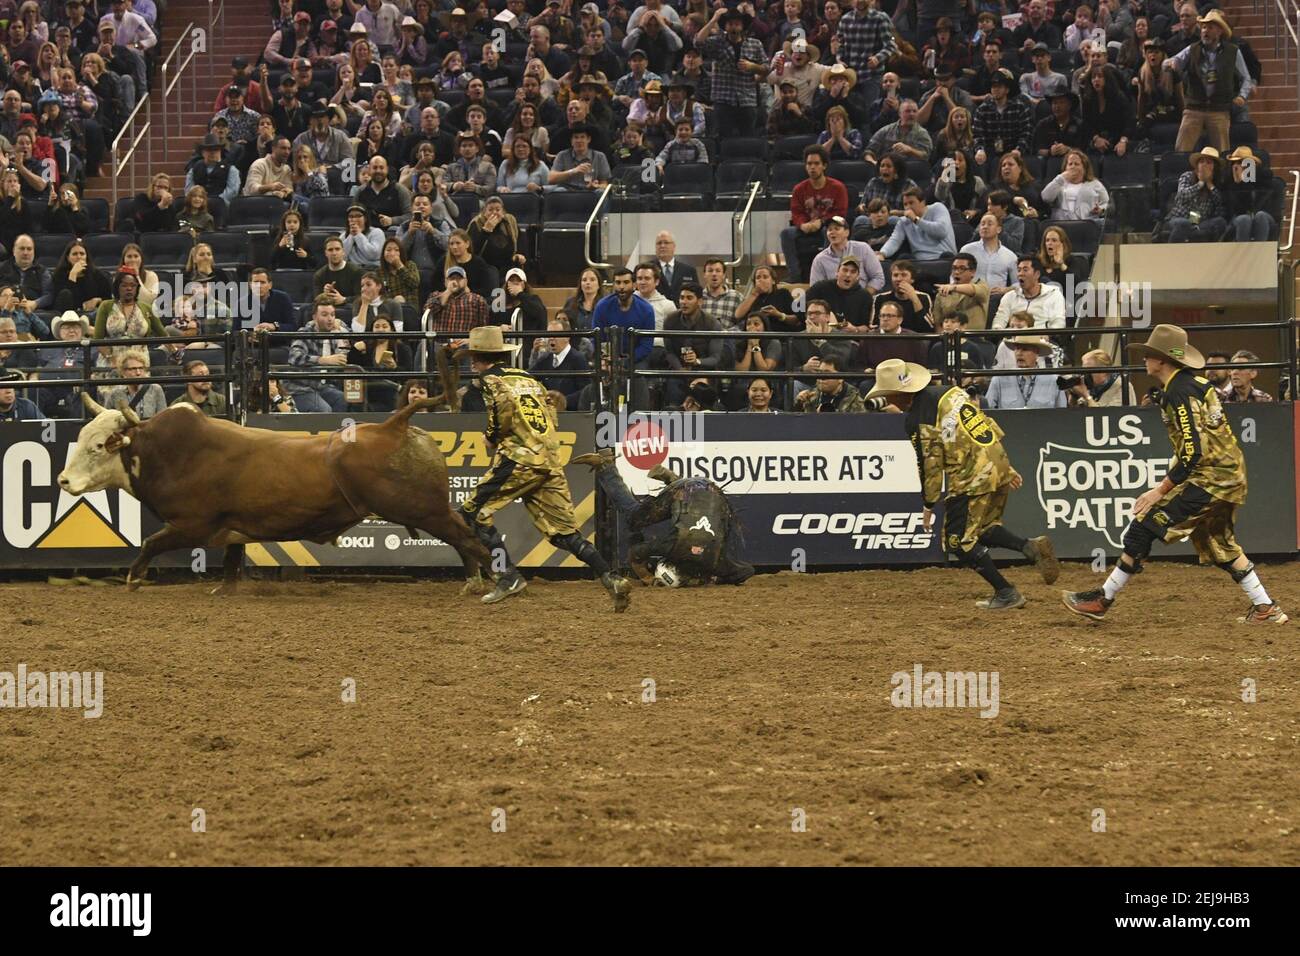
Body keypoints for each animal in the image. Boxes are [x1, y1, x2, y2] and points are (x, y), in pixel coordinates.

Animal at [57, 351, 493, 594]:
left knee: (467, 539)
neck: (167, 452)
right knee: (463, 536)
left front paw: (133, 579)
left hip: (424, 510)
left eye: (100, 446)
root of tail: (394, 424)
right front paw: (225, 590)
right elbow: (231, 560)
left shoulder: (192, 525)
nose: (62, 480)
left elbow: (150, 542)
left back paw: (487, 578)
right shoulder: (232, 527)